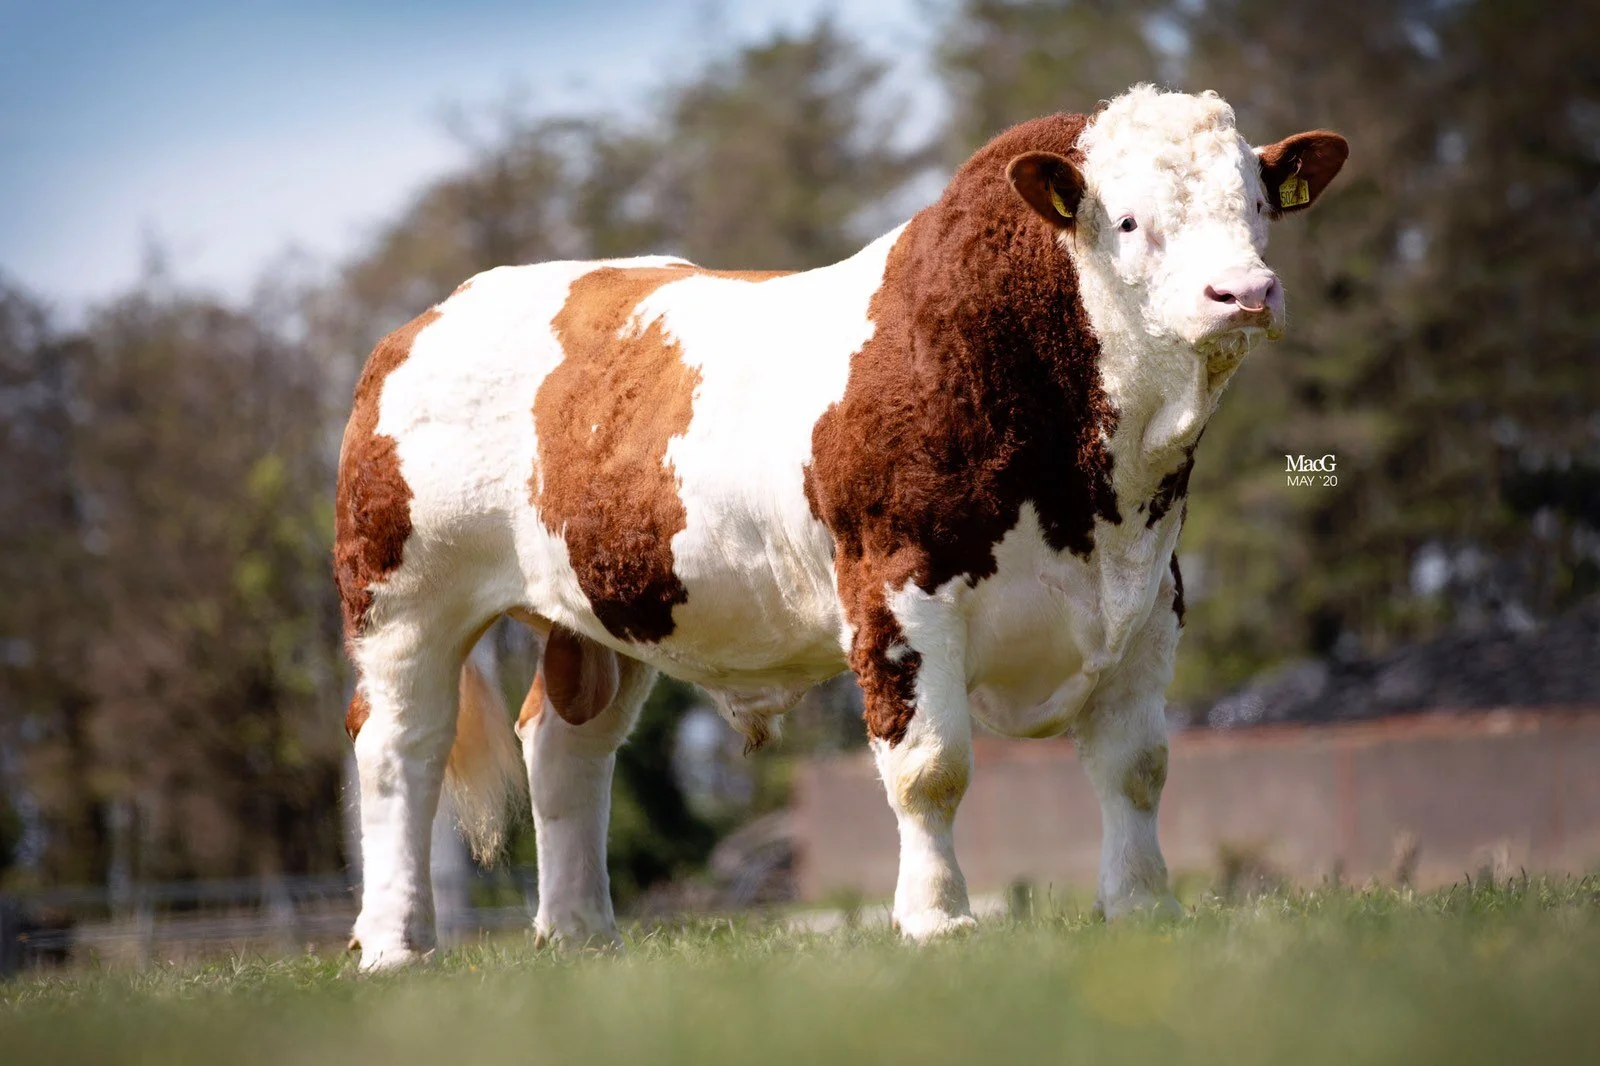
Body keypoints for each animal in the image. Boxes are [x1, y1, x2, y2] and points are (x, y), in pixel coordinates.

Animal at [334, 84, 1347, 970]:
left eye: (1259, 202)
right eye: (1130, 221)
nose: (1245, 292)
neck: (1090, 487)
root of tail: (428, 319)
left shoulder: (1150, 597)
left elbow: (1137, 765)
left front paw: (1142, 909)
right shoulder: (899, 590)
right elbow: (931, 768)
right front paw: (936, 920)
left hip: (599, 609)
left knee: (564, 749)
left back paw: (581, 935)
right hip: (400, 599)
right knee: (398, 752)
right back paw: (394, 947)